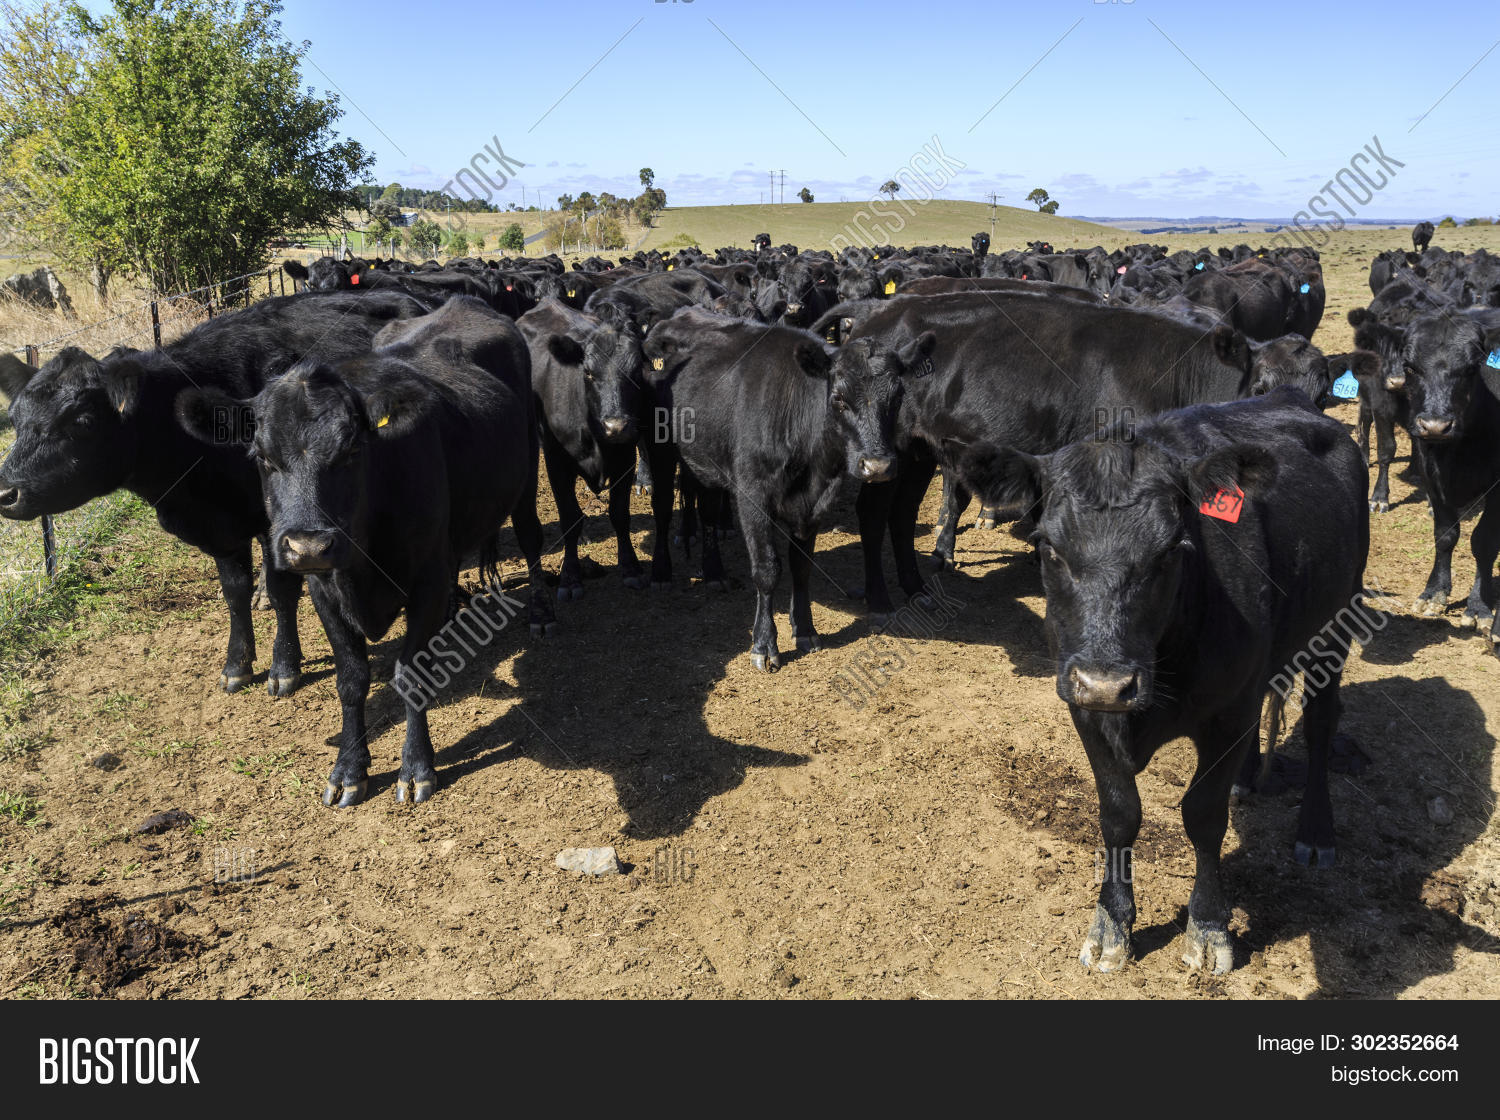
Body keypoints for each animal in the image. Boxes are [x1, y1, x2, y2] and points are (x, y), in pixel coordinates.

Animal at [0, 290, 432, 697]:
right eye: (15, 419)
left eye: (83, 421)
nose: (6, 491)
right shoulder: (224, 530)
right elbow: (234, 593)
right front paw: (237, 663)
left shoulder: (278, 523)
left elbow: (284, 592)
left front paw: (284, 667)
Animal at [177, 297, 555, 807]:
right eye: (261, 457)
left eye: (352, 450)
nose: (307, 545)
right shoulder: (324, 589)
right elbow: (352, 679)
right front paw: (349, 769)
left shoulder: (425, 581)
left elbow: (411, 675)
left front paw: (416, 767)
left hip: (527, 473)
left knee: (532, 538)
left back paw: (540, 610)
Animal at [640, 306, 933, 670]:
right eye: (838, 398)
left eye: (898, 397)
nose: (877, 466)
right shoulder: (752, 495)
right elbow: (767, 569)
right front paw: (764, 644)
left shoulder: (814, 502)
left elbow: (802, 566)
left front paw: (805, 629)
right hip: (660, 451)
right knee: (663, 509)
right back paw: (660, 573)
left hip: (706, 462)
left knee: (707, 512)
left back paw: (714, 573)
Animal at [955, 388, 1369, 972]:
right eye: (1049, 548)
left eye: (1172, 548)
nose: (1108, 682)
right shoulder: (1083, 704)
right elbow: (1119, 812)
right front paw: (1111, 922)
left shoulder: (1228, 713)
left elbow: (1203, 814)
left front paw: (1209, 926)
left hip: (1339, 616)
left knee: (1320, 724)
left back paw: (1316, 830)